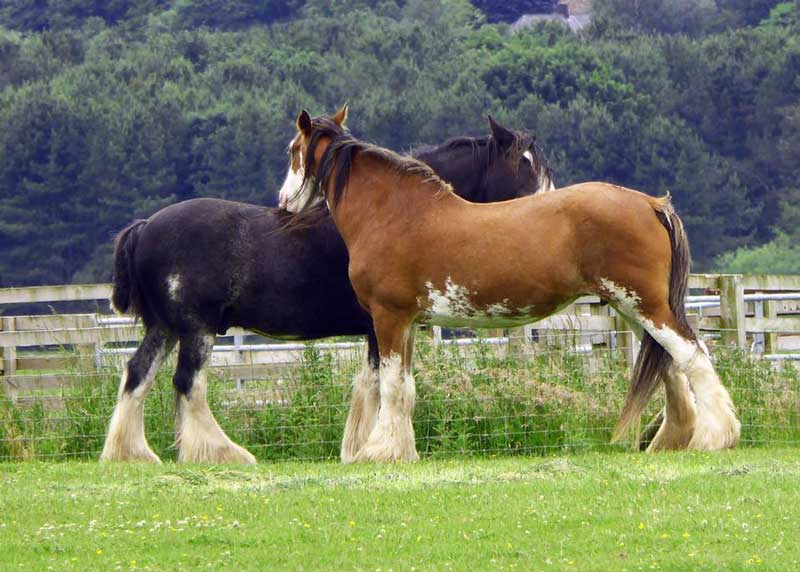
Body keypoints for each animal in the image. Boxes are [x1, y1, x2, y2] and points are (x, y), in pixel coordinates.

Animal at [100, 107, 554, 465]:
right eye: (523, 165)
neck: (396, 214)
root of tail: (145, 227)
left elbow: (372, 387)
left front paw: (359, 449)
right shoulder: (380, 324)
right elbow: (380, 387)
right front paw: (373, 450)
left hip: (165, 328)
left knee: (138, 373)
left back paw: (131, 453)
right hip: (196, 330)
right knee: (188, 383)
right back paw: (221, 452)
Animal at [286, 108, 741, 462]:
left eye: (292, 151)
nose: (284, 200)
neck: (396, 213)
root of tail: (650, 203)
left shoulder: (388, 318)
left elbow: (392, 385)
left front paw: (380, 451)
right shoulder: (408, 322)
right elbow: (405, 386)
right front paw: (401, 449)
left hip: (647, 305)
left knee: (692, 356)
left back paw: (715, 436)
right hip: (632, 307)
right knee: (670, 363)